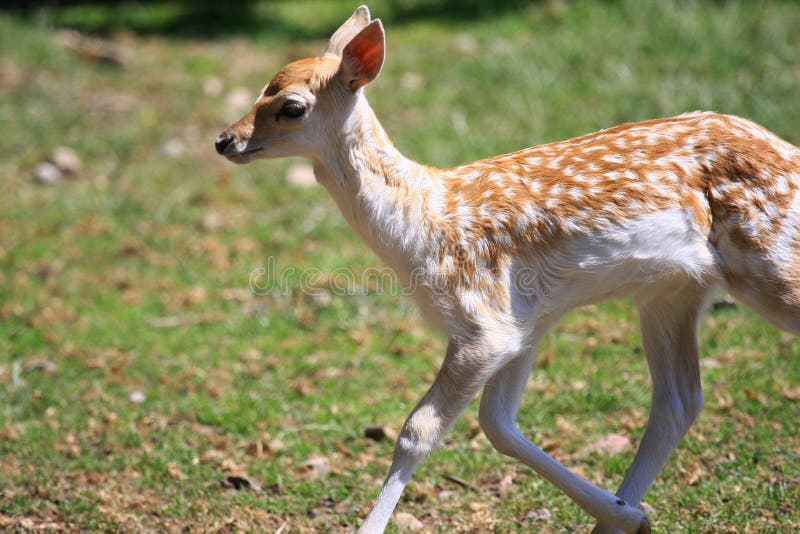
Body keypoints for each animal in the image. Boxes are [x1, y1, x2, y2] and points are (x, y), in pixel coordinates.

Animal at [214, 6, 800, 533]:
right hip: (670, 291)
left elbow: (418, 430)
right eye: (263, 86)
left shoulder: (483, 321)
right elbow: (498, 426)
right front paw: (630, 515)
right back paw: (619, 517)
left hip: (769, 259)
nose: (224, 140)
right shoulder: (524, 322)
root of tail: (786, 151)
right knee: (678, 403)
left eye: (291, 106)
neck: (423, 227)